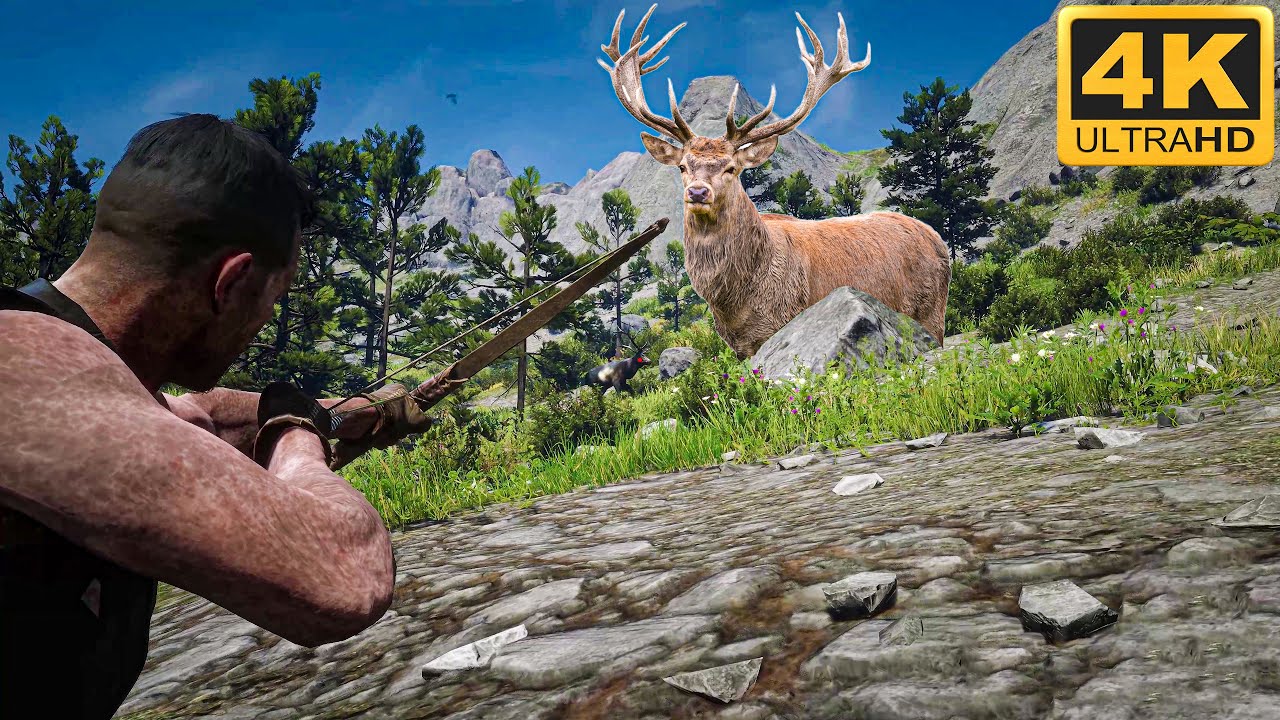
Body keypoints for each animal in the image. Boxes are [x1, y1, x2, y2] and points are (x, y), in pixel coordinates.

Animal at [598, 5, 952, 359]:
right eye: (683, 166)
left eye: (731, 168)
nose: (698, 192)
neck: (738, 304)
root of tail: (938, 241)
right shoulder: (740, 347)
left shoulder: (786, 322)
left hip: (933, 311)